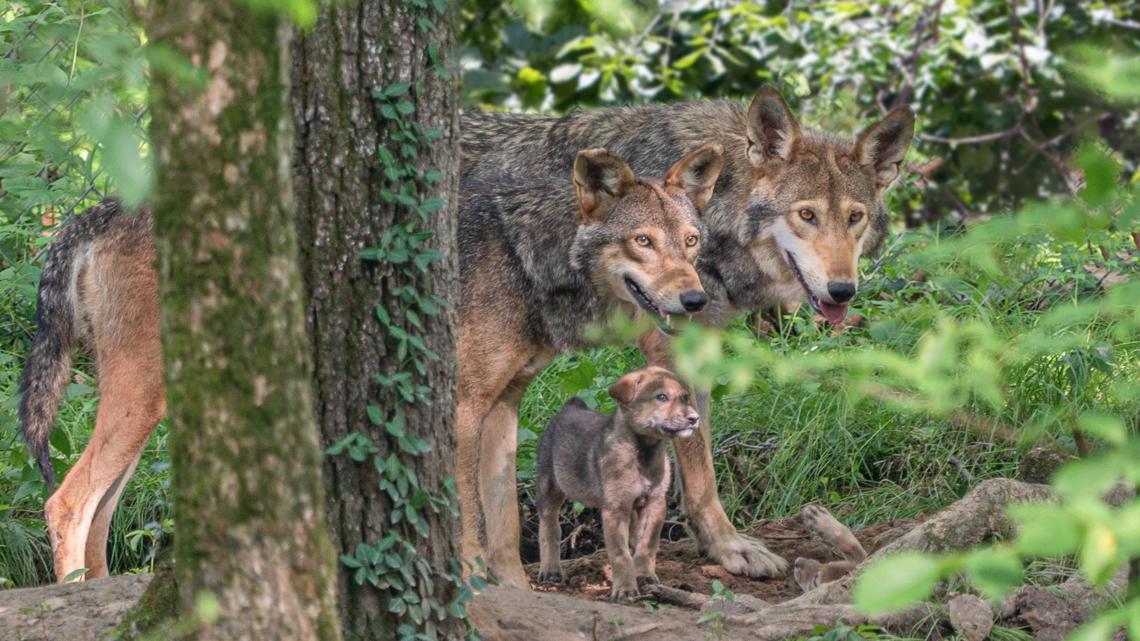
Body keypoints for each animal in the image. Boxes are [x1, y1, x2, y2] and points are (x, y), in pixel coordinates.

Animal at [534, 366, 698, 601]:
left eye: (685, 397)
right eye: (661, 397)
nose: (694, 418)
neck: (643, 451)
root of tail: (571, 405)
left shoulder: (655, 502)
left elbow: (647, 546)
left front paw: (645, 576)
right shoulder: (615, 509)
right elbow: (620, 554)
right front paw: (625, 589)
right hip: (549, 487)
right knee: (549, 529)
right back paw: (550, 570)